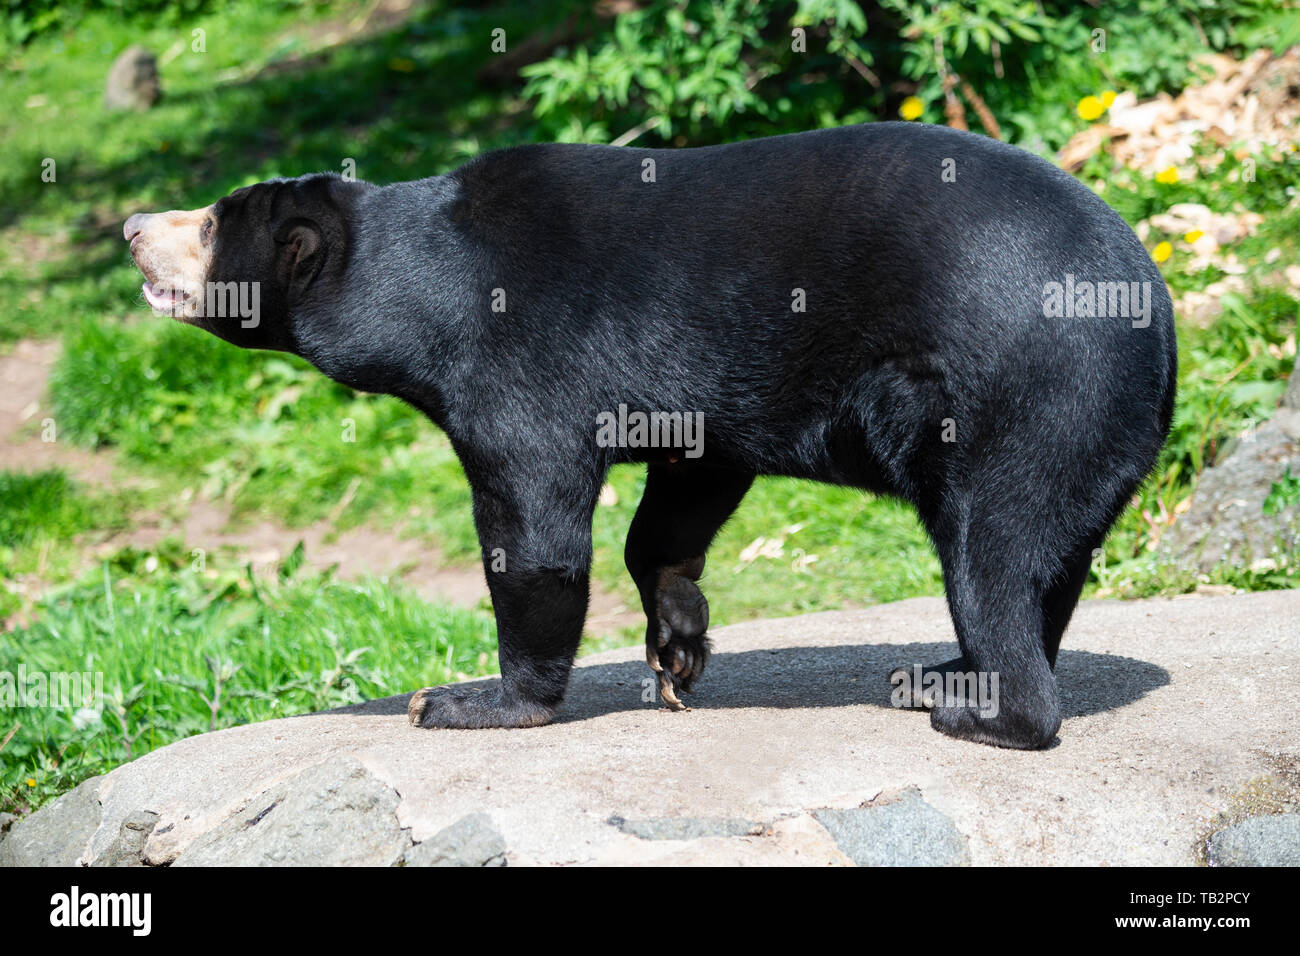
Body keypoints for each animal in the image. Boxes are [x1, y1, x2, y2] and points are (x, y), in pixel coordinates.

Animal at [123, 122, 1177, 749]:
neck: (424, 280)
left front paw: (469, 700)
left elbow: (534, 523)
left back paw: (972, 702)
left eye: (209, 221)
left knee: (992, 552)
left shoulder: (514, 355)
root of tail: (1155, 307)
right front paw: (677, 647)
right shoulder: (700, 391)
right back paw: (948, 669)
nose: (131, 225)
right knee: (1046, 570)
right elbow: (684, 486)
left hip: (1023, 400)